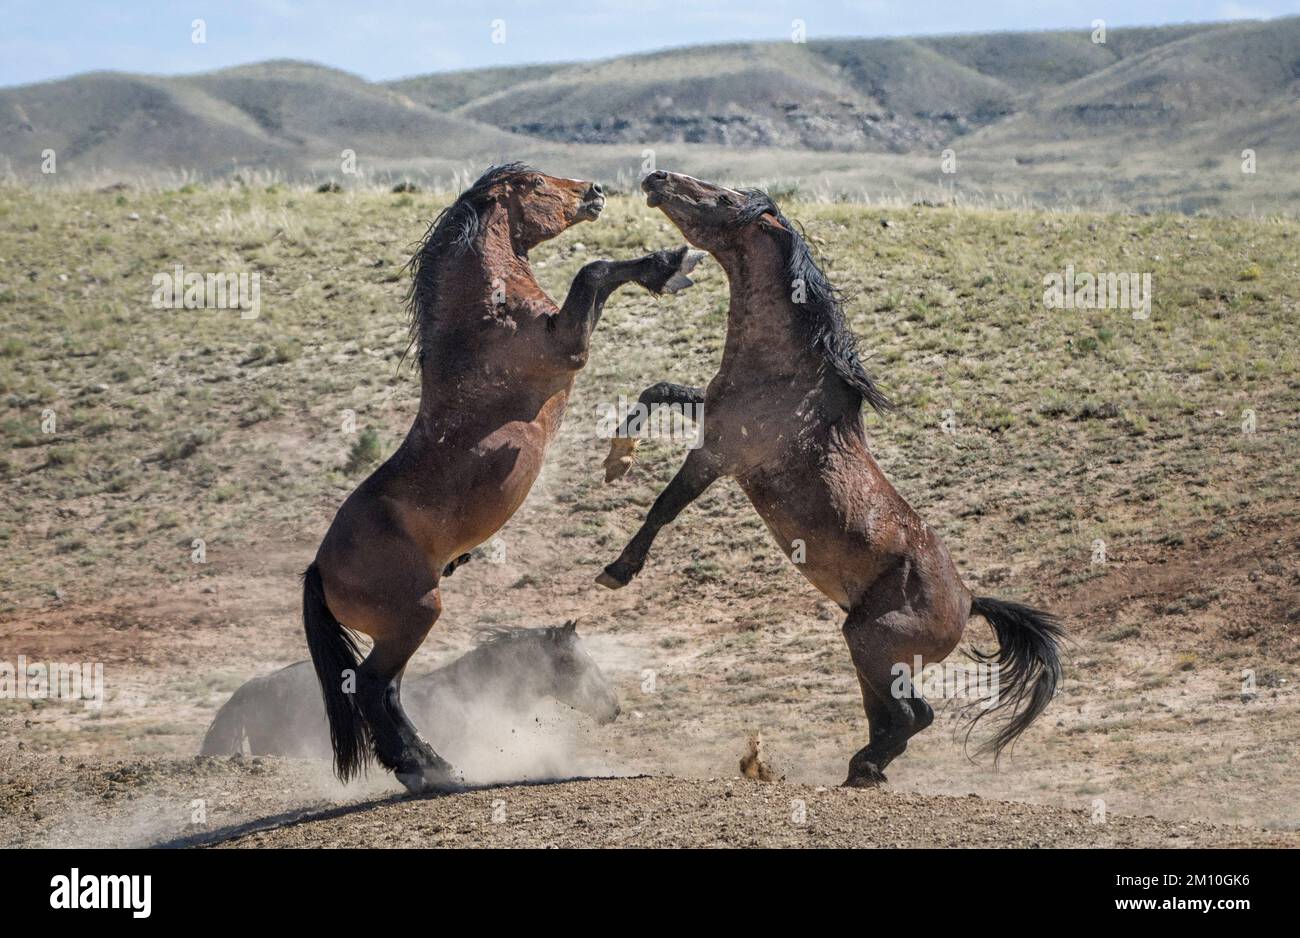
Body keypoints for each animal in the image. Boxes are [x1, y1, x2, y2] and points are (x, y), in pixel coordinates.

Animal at [305, 163, 702, 793]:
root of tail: (320, 569)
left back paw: (434, 765)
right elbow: (594, 270)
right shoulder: (567, 343)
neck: (484, 313)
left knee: (386, 691)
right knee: (372, 687)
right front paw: (671, 265)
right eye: (537, 183)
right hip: (416, 616)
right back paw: (426, 771)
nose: (595, 192)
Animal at [597, 171, 1064, 787]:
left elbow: (664, 507)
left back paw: (860, 768)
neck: (790, 373)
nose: (656, 178)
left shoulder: (717, 456)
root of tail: (969, 602)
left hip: (868, 642)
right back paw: (863, 771)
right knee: (904, 716)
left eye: (722, 198)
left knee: (911, 715)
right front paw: (616, 460)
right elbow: (658, 390)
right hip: (873, 653)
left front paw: (616, 571)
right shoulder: (710, 416)